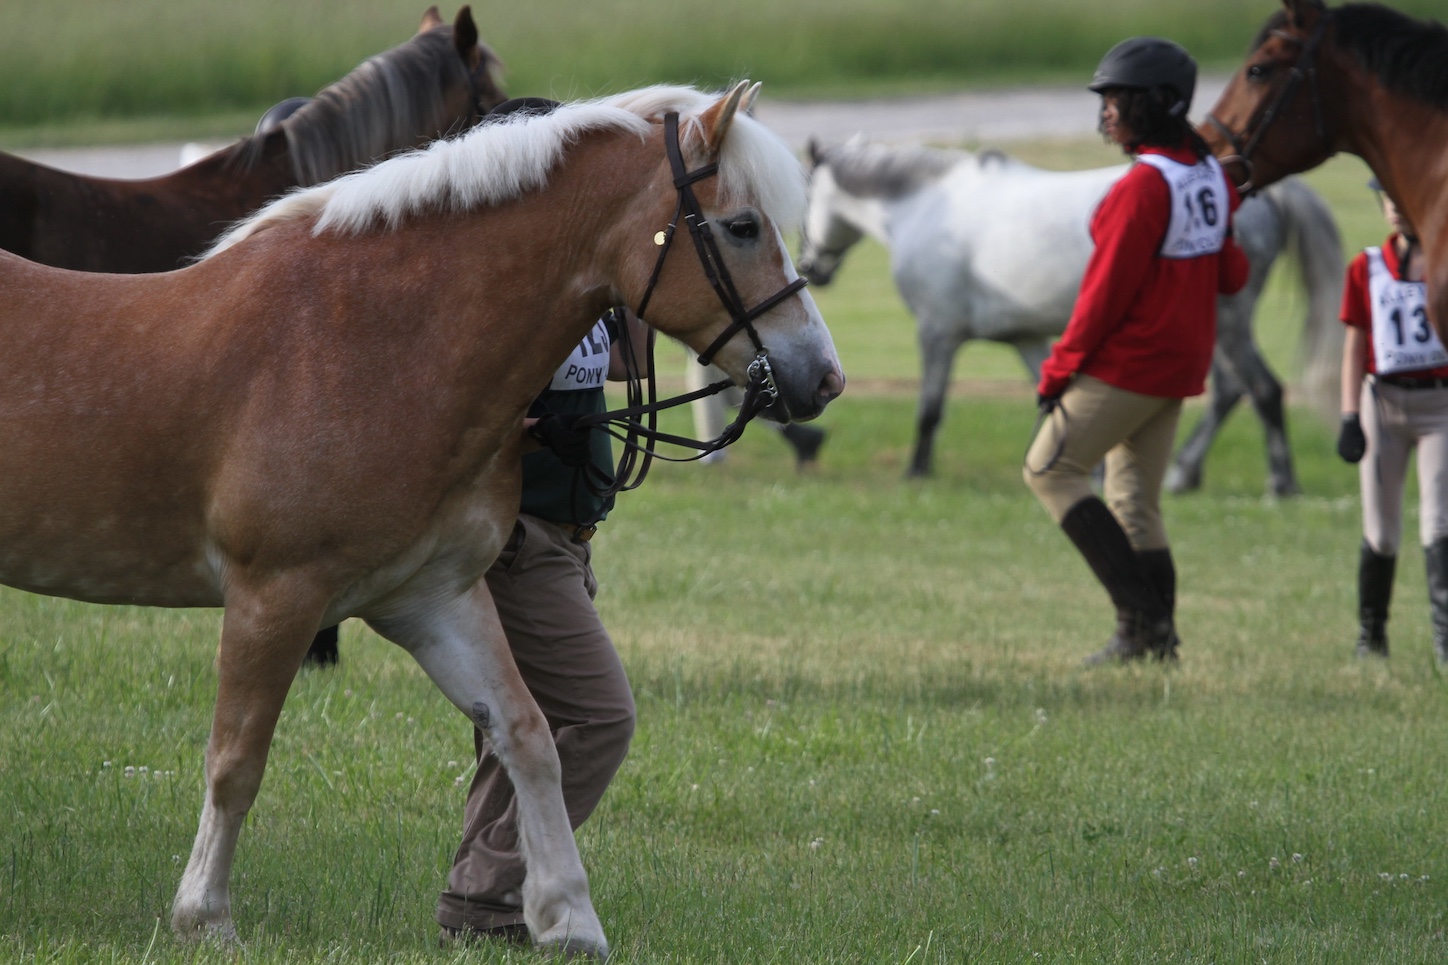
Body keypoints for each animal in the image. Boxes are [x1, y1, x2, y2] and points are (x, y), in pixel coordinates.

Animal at [0, 81, 843, 956]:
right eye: (742, 226)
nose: (823, 376)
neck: (376, 339)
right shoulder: (274, 597)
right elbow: (235, 761)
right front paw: (205, 915)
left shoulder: (432, 598)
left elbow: (528, 735)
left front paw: (567, 916)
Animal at [798, 138, 1344, 493]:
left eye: (803, 204)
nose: (810, 268)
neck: (925, 205)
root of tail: (1259, 190)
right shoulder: (1026, 339)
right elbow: (1055, 403)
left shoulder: (938, 333)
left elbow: (930, 408)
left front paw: (916, 471)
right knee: (1230, 392)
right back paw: (1184, 474)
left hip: (1228, 325)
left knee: (1264, 389)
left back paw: (1281, 483)